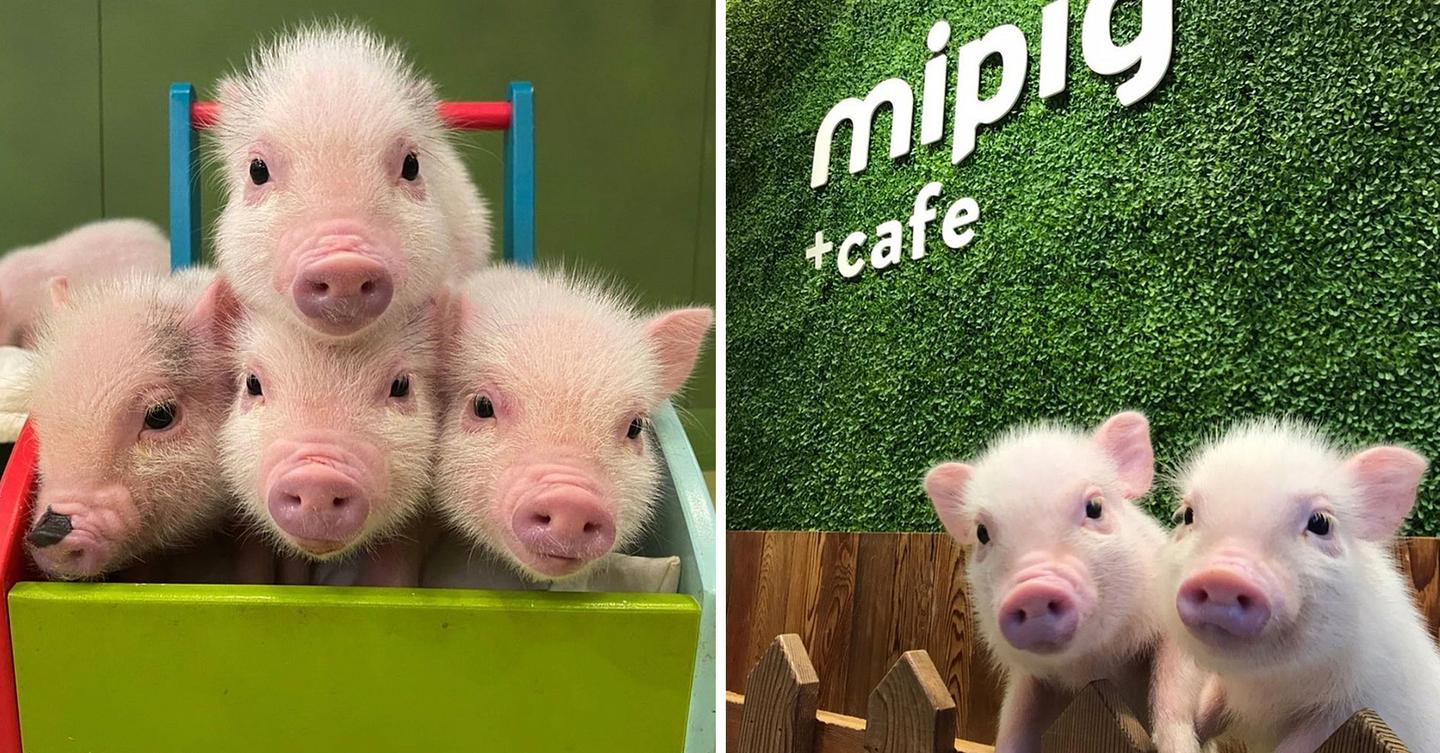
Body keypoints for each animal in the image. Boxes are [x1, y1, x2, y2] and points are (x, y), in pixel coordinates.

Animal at [923, 412, 1169, 753]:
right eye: (982, 533)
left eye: (1095, 507)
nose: (1033, 591)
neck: (1092, 667)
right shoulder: (1029, 679)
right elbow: (1015, 721)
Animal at [1156, 419, 1440, 753]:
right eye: (1188, 515)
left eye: (1320, 523)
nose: (1222, 576)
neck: (1265, 684)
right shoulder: (1227, 686)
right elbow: (1210, 704)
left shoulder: (1356, 704)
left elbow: (1303, 740)